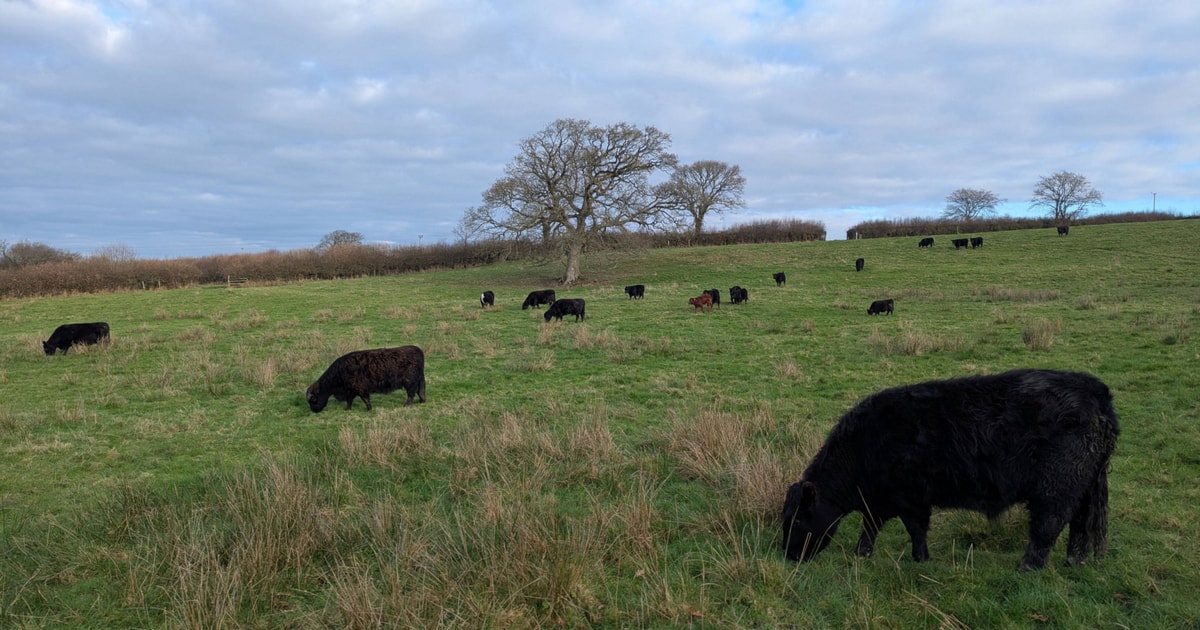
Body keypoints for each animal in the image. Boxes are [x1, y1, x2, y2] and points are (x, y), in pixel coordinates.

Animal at [782, 369, 1119, 571]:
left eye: (797, 520)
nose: (788, 555)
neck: (864, 444)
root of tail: (1096, 389)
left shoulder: (912, 498)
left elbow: (915, 529)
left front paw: (920, 560)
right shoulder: (878, 501)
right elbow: (871, 526)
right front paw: (862, 554)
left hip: (1056, 487)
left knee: (1048, 526)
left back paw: (1026, 568)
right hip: (1084, 488)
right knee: (1078, 525)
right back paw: (1074, 562)